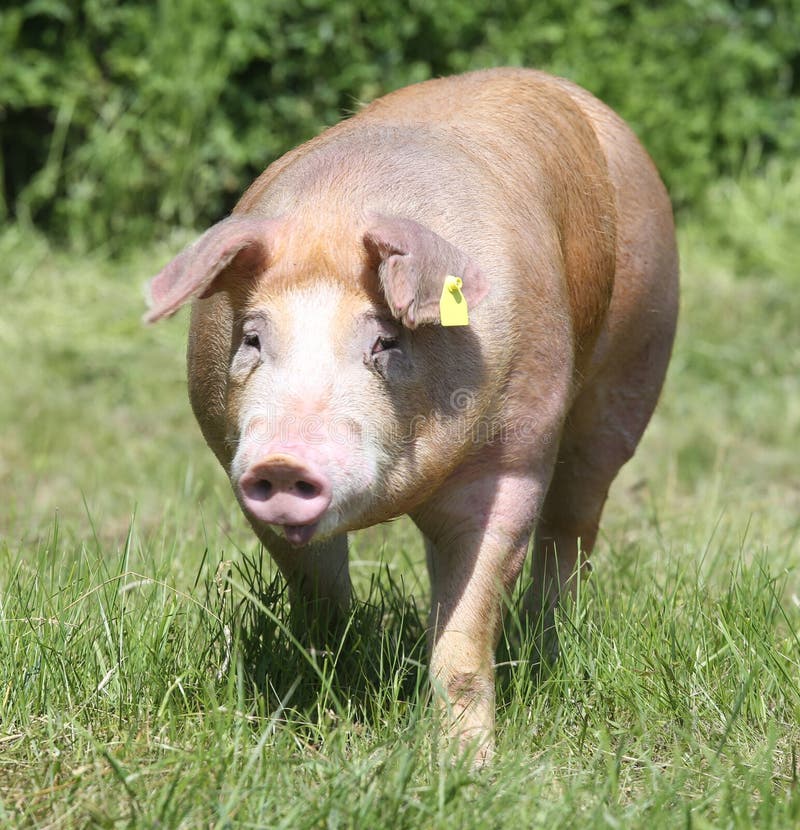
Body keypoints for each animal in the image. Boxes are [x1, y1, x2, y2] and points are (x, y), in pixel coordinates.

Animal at [145, 67, 678, 762]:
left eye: (384, 341)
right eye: (253, 338)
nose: (285, 460)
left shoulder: (510, 463)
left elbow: (467, 632)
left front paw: (469, 764)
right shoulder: (235, 464)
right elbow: (317, 587)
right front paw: (331, 678)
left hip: (637, 357)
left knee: (573, 523)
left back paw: (546, 643)